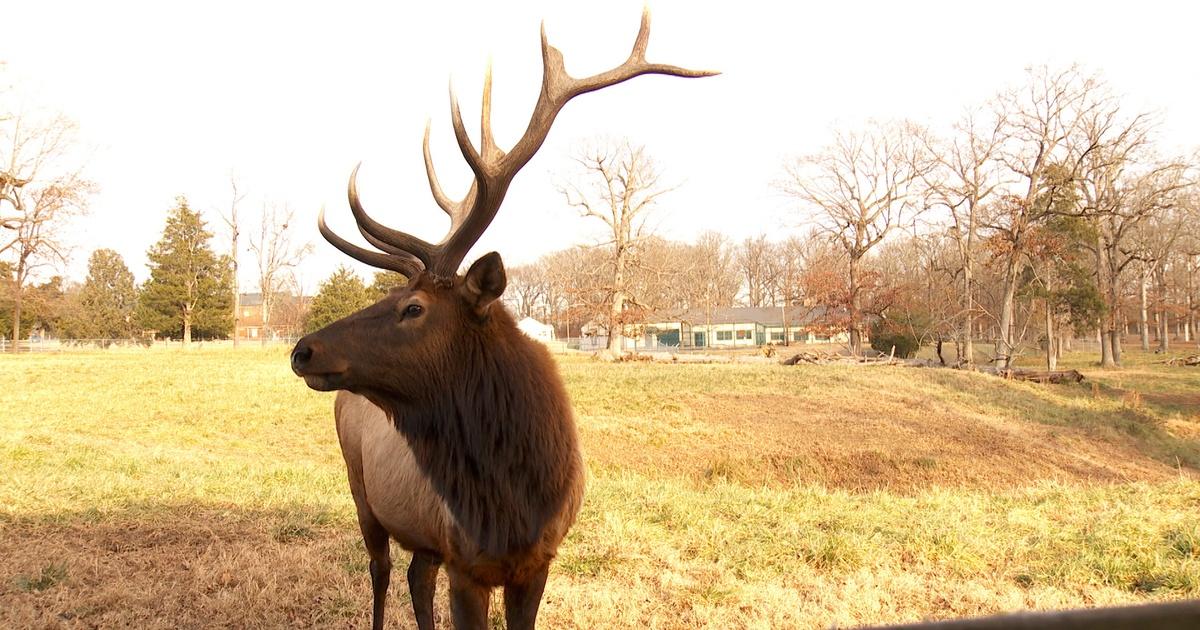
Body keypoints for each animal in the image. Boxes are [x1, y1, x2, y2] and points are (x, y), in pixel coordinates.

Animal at [289, 9, 714, 630]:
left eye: (413, 307)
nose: (303, 349)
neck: (515, 502)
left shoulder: (538, 561)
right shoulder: (467, 565)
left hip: (421, 534)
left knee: (415, 575)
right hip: (360, 490)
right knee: (381, 572)